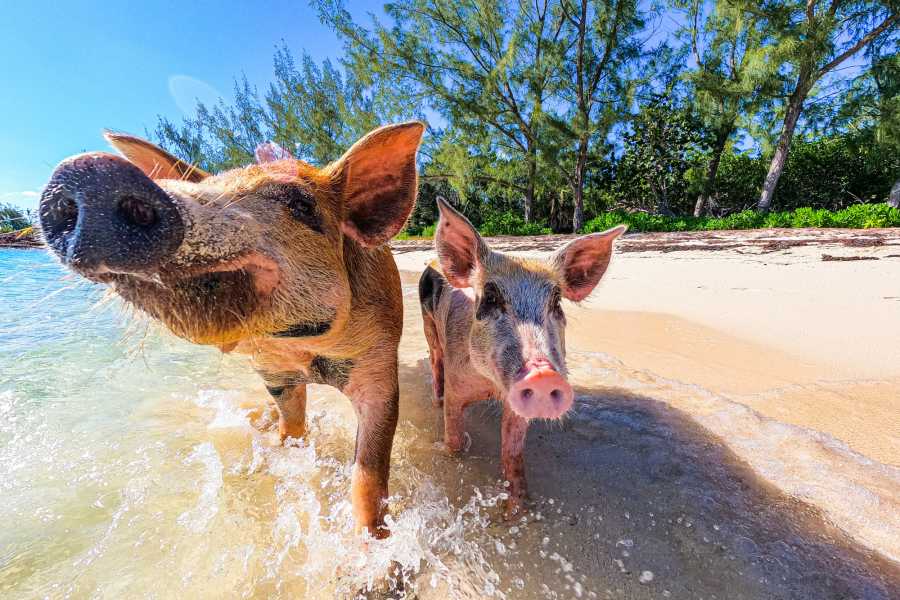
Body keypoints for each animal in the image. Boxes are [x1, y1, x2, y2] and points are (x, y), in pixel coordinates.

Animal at [39, 122, 425, 538]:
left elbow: (369, 472)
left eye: (300, 203)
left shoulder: (379, 363)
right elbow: (291, 429)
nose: (89, 170)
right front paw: (280, 453)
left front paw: (375, 546)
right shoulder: (273, 374)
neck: (303, 348)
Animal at [419, 198, 625, 516]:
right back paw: (435, 398)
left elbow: (512, 453)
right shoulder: (457, 384)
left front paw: (514, 510)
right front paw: (453, 452)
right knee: (434, 359)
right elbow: (453, 437)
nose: (543, 374)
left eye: (556, 301)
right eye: (490, 298)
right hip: (429, 326)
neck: (490, 387)